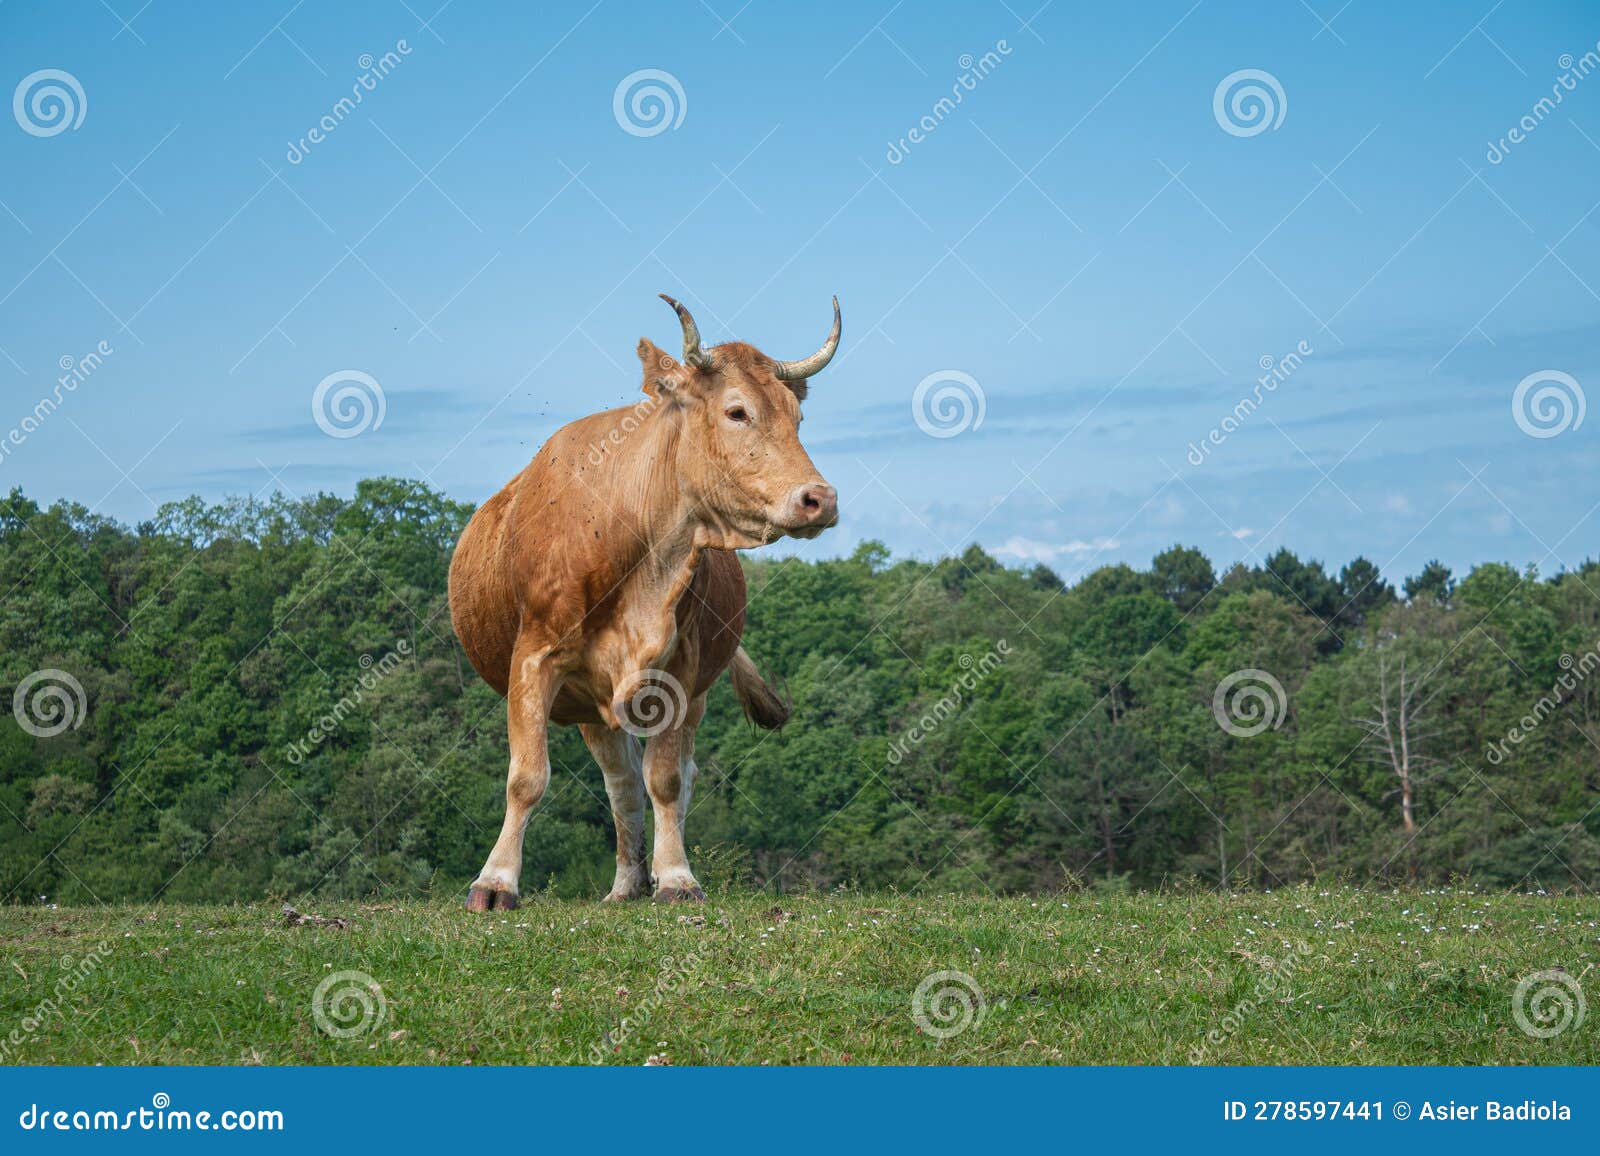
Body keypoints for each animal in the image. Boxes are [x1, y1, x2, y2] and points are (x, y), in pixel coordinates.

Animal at [448, 295, 842, 909]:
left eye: (797, 419)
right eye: (737, 412)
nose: (819, 499)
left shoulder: (680, 670)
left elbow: (667, 780)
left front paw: (676, 876)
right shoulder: (534, 659)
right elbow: (527, 777)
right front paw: (495, 881)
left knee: (667, 777)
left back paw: (644, 873)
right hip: (591, 707)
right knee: (622, 786)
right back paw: (627, 881)